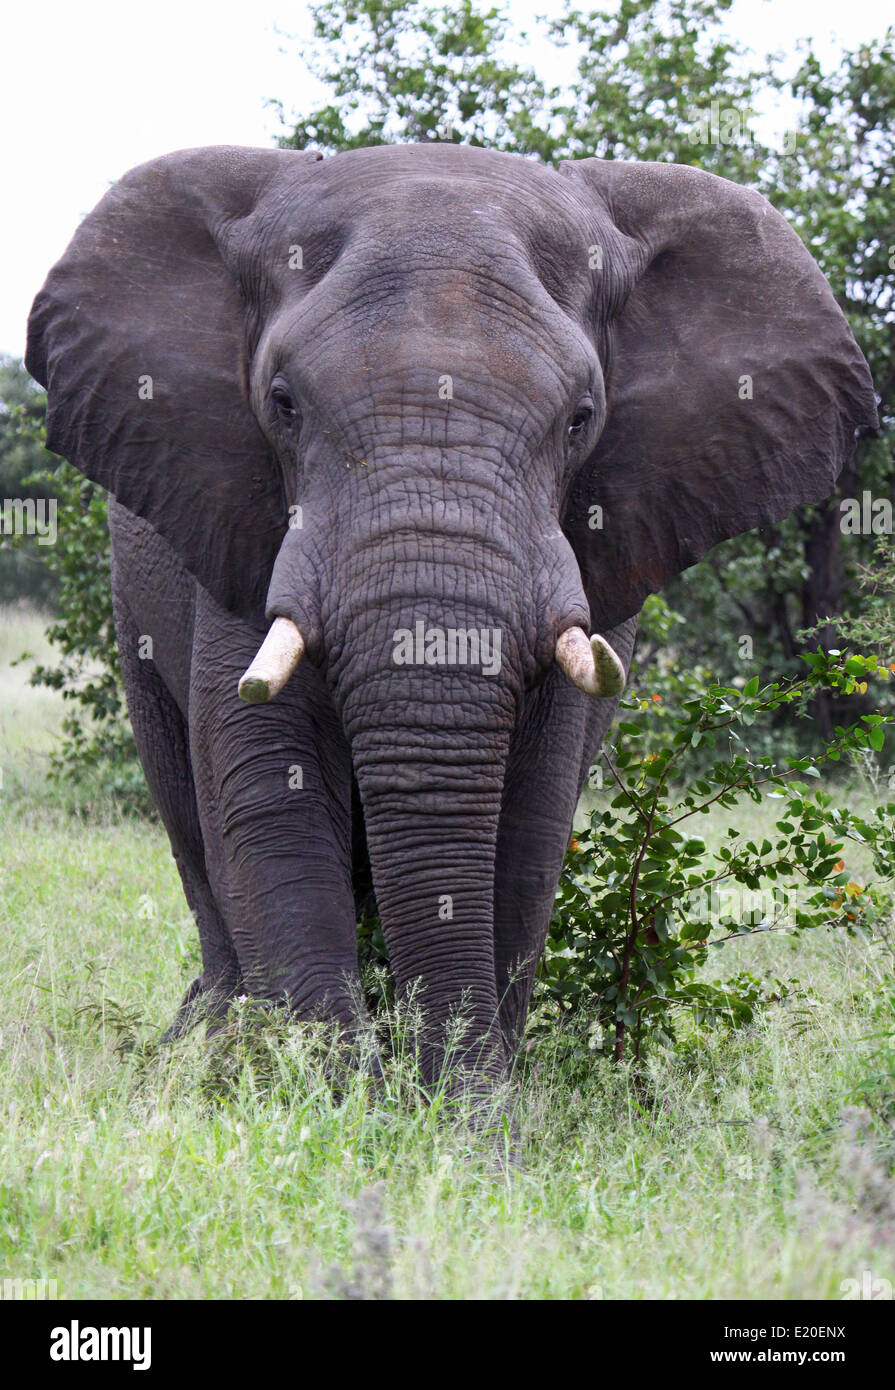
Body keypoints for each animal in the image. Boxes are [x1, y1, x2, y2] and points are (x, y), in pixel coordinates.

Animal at [26, 142, 877, 1093]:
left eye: (581, 419)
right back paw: (206, 1047)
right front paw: (339, 1100)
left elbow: (528, 825)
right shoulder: (239, 526)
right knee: (189, 823)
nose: (445, 1099)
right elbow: (270, 801)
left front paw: (468, 1108)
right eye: (282, 402)